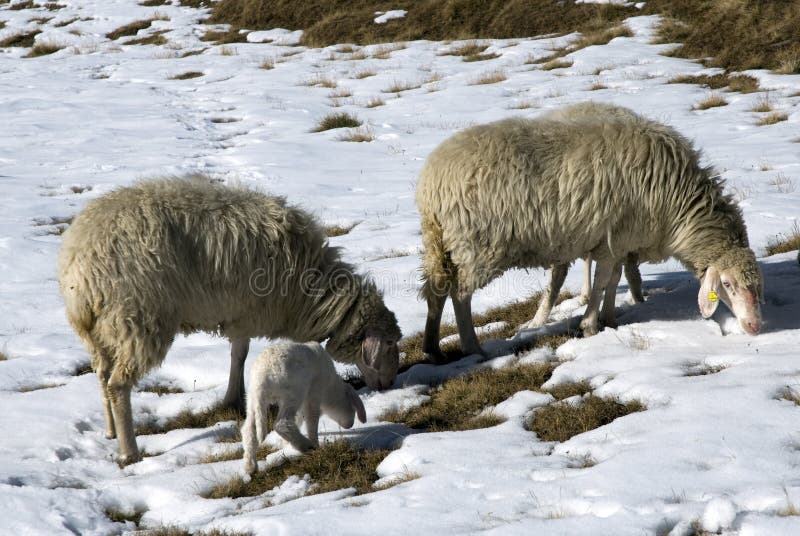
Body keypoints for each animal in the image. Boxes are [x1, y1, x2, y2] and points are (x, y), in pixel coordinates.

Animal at [241, 341, 366, 475]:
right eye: (352, 406)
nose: (350, 425)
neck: (330, 388)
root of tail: (261, 379)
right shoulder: (313, 395)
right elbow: (311, 420)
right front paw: (316, 445)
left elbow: (299, 420)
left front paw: (286, 445)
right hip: (293, 394)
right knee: (282, 423)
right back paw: (307, 445)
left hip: (252, 399)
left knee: (249, 429)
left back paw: (250, 467)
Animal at [416, 109, 763, 362]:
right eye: (727, 285)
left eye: (757, 286)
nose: (755, 326)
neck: (677, 203)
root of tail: (431, 181)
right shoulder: (612, 239)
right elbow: (600, 283)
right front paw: (590, 325)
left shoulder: (619, 240)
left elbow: (611, 281)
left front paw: (609, 318)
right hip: (478, 245)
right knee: (460, 295)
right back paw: (473, 348)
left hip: (438, 241)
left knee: (436, 290)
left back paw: (432, 349)